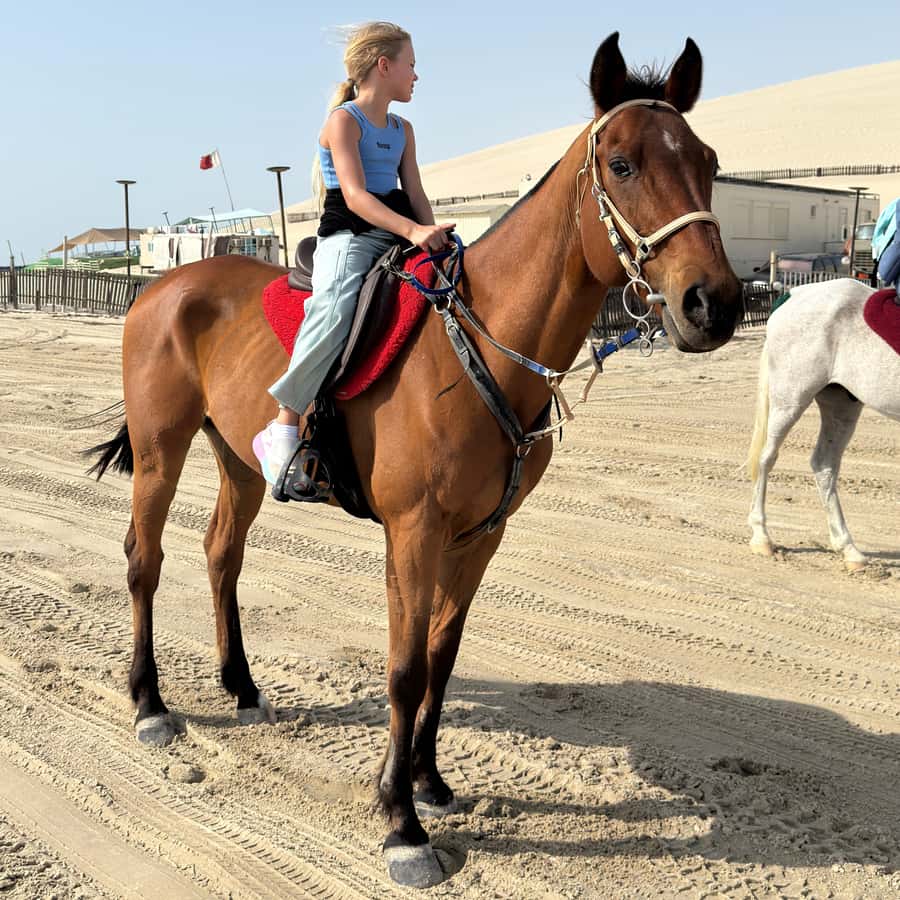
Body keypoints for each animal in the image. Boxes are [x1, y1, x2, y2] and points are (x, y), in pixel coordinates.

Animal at [87, 33, 742, 887]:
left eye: (707, 159)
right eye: (624, 163)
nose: (715, 304)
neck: (480, 346)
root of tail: (163, 285)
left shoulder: (481, 535)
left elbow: (441, 656)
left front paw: (429, 782)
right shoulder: (414, 532)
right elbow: (402, 669)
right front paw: (401, 823)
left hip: (238, 461)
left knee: (221, 554)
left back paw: (243, 687)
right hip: (161, 451)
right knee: (145, 560)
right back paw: (151, 705)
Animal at [747, 278, 900, 571]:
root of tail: (796, 294)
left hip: (841, 406)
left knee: (824, 465)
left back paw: (848, 548)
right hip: (790, 399)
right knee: (766, 458)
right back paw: (762, 537)